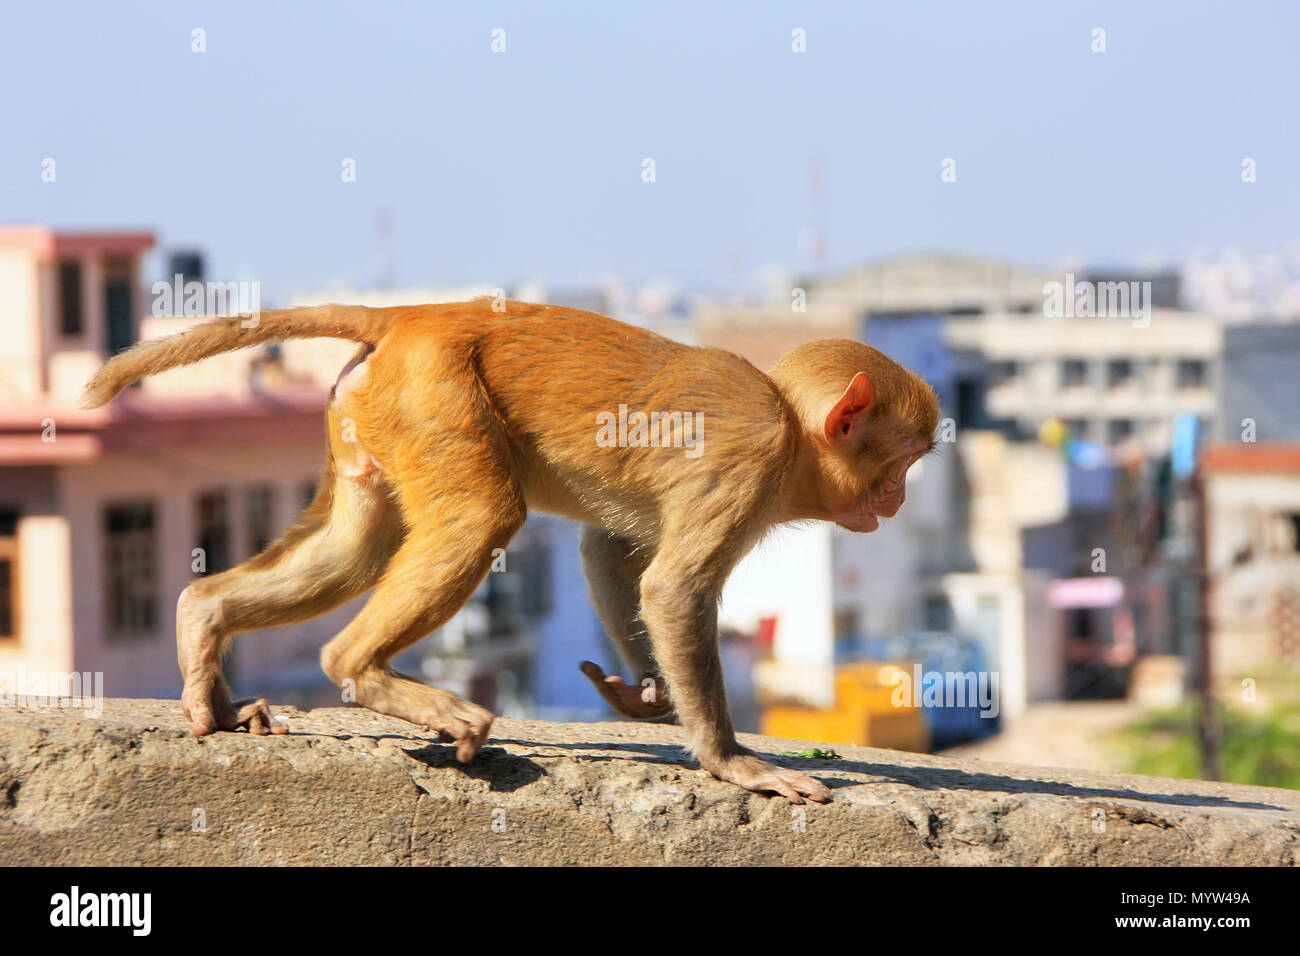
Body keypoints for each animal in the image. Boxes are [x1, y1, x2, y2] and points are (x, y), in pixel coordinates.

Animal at [82, 300, 940, 804]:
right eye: (902, 462)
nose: (900, 500)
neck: (791, 431)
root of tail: (414, 315)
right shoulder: (748, 462)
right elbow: (671, 589)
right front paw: (729, 760)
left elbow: (610, 550)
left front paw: (647, 694)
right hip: (434, 392)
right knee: (479, 520)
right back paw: (362, 669)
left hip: (373, 412)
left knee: (357, 548)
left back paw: (205, 622)